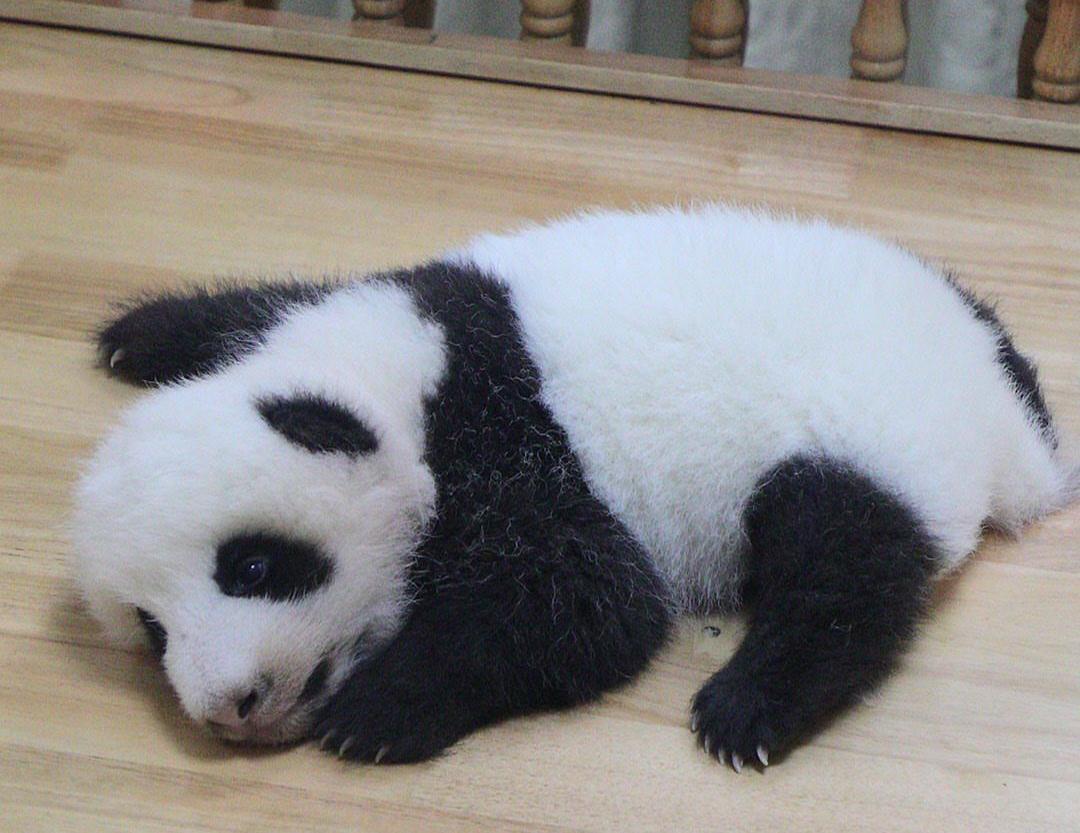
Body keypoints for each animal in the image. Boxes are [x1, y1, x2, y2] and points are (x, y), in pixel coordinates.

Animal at [72, 205, 1076, 771]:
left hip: (870, 431)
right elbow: (256, 308)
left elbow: (592, 607)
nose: (229, 707)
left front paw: (379, 708)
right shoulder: (398, 304)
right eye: (152, 628)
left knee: (842, 566)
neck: (395, 375)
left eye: (252, 566)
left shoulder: (504, 441)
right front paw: (144, 331)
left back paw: (749, 703)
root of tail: (1016, 436)